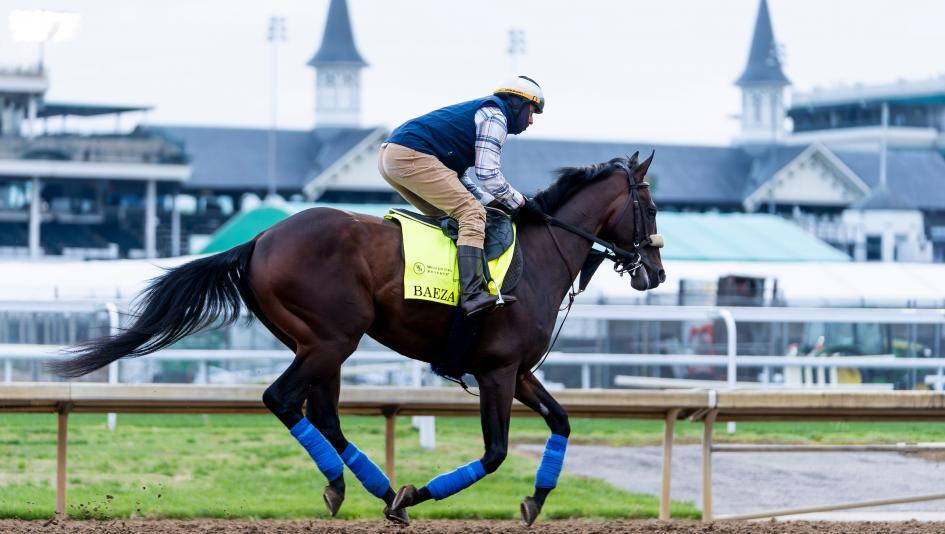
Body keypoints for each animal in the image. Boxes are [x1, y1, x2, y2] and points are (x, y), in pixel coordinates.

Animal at [52, 150, 665, 526]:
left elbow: (561, 421)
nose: (655, 273)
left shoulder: (518, 371)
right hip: (331, 340)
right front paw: (421, 493)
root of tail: (258, 240)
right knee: (284, 399)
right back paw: (374, 491)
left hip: (317, 345)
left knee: (321, 414)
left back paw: (372, 490)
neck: (538, 257)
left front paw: (535, 499)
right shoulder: (496, 370)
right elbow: (494, 454)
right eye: (652, 206)